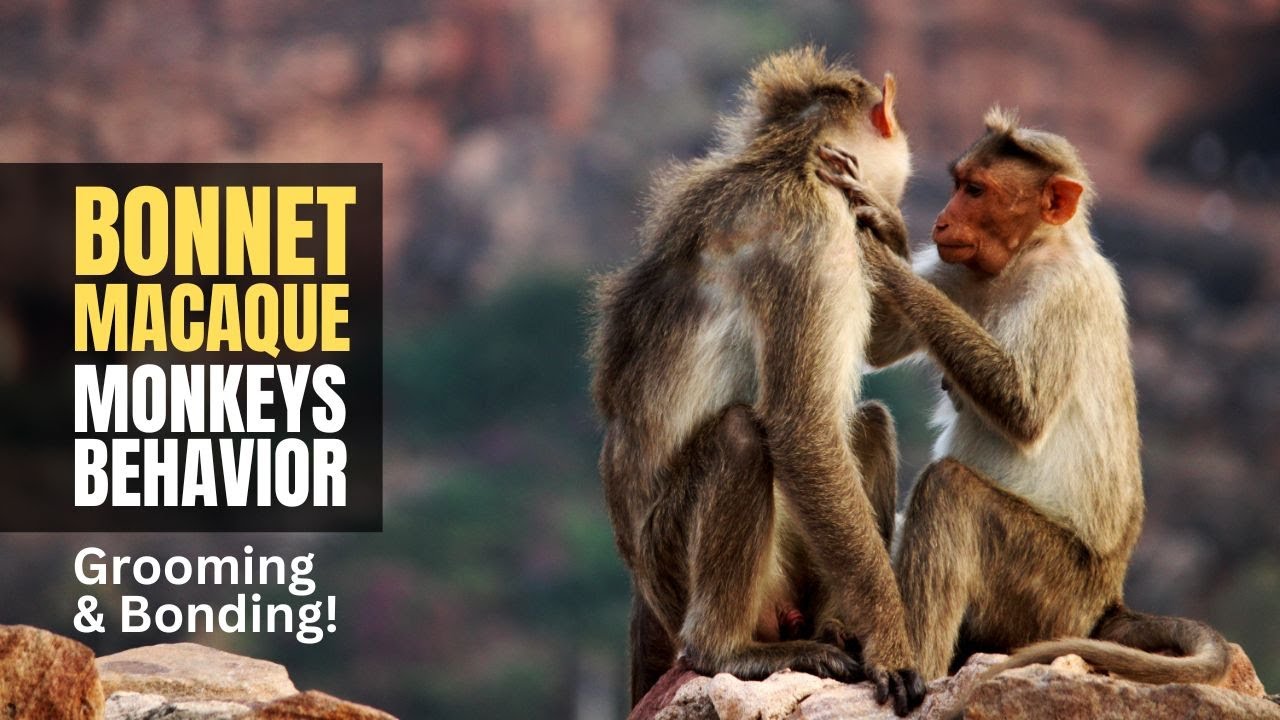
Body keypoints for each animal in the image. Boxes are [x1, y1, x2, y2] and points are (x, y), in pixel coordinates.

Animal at [588, 47, 925, 716]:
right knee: (743, 435)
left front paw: (886, 224)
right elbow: (799, 426)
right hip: (680, 567)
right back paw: (726, 649)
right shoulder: (813, 239)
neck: (789, 158)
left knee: (868, 424)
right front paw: (890, 641)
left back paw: (831, 626)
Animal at [815, 108, 1231, 688]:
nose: (941, 222)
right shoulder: (957, 267)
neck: (1026, 253)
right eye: (958, 184)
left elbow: (1023, 409)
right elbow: (877, 339)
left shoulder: (1062, 290)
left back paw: (914, 664)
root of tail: (1107, 603)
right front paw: (879, 218)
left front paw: (876, 250)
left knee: (951, 492)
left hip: (1049, 596)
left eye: (975, 190)